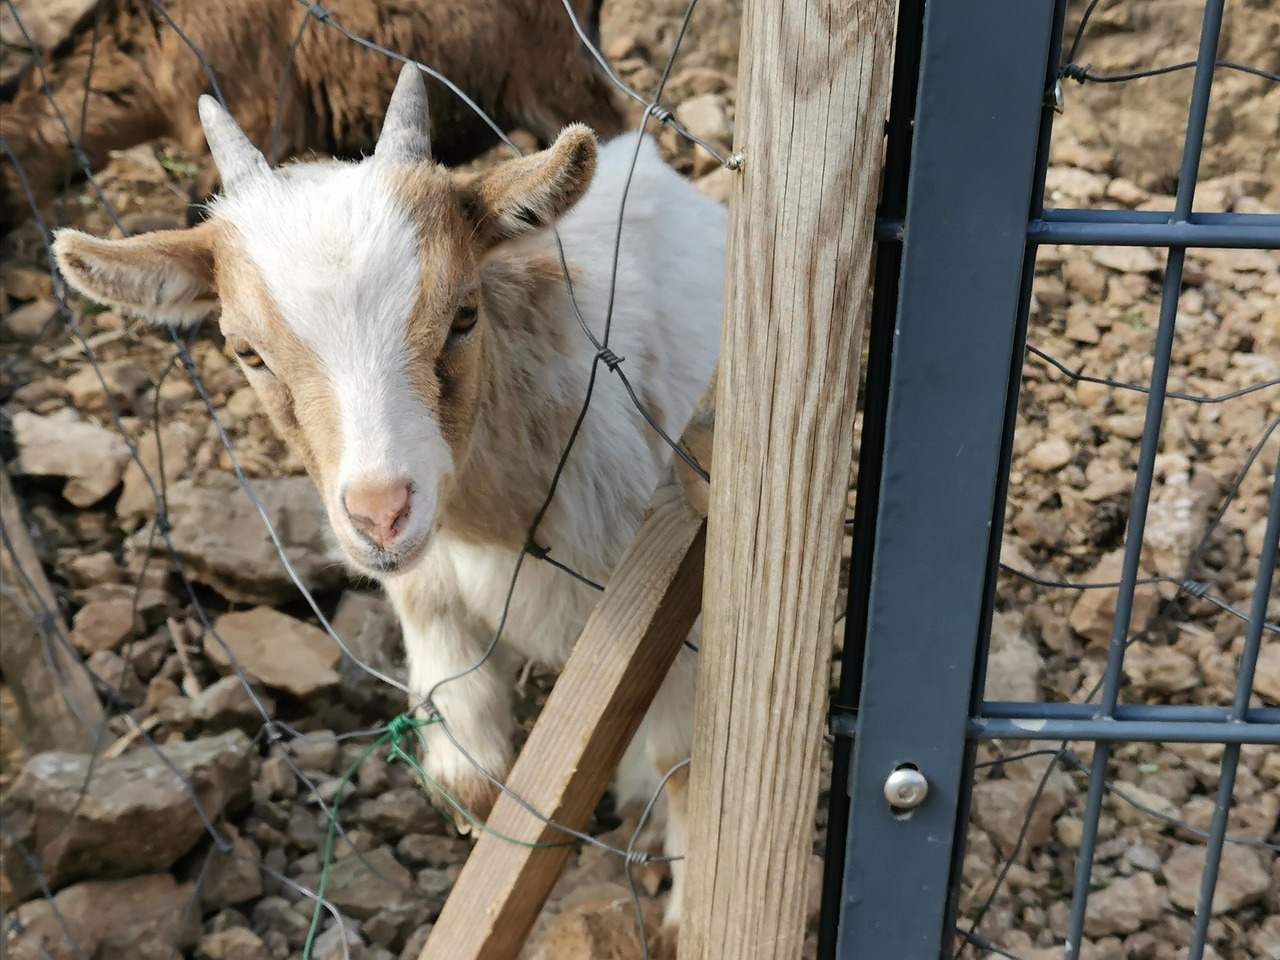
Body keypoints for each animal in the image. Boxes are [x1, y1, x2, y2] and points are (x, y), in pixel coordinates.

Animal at [52, 64, 724, 927]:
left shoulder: (672, 601)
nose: (380, 514)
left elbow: (682, 757)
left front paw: (682, 915)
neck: (495, 527)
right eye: (246, 351)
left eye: (464, 312)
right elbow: (472, 776)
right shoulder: (430, 597)